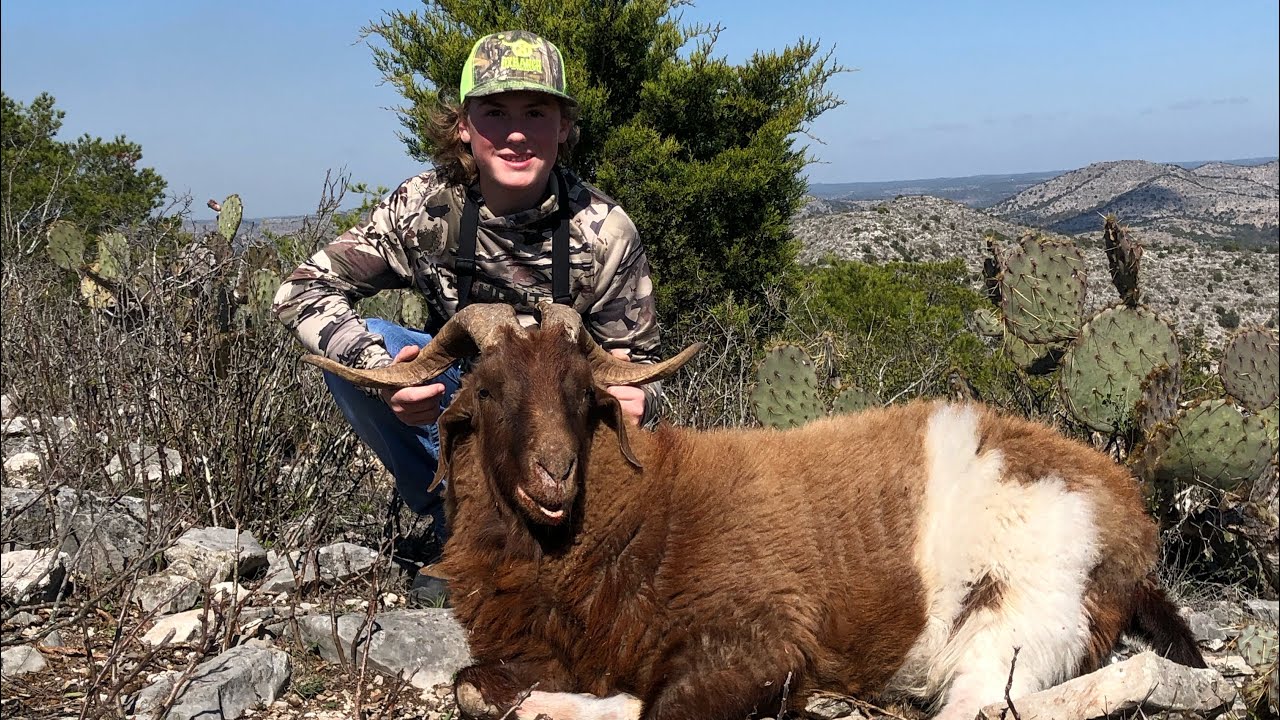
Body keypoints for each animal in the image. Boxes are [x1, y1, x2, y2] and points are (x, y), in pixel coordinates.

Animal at [304, 302, 1204, 720]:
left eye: (582, 392)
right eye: (487, 391)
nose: (554, 479)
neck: (635, 511)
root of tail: (1131, 524)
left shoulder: (763, 641)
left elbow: (661, 708)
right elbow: (472, 686)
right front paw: (539, 701)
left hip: (1018, 617)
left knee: (1002, 703)